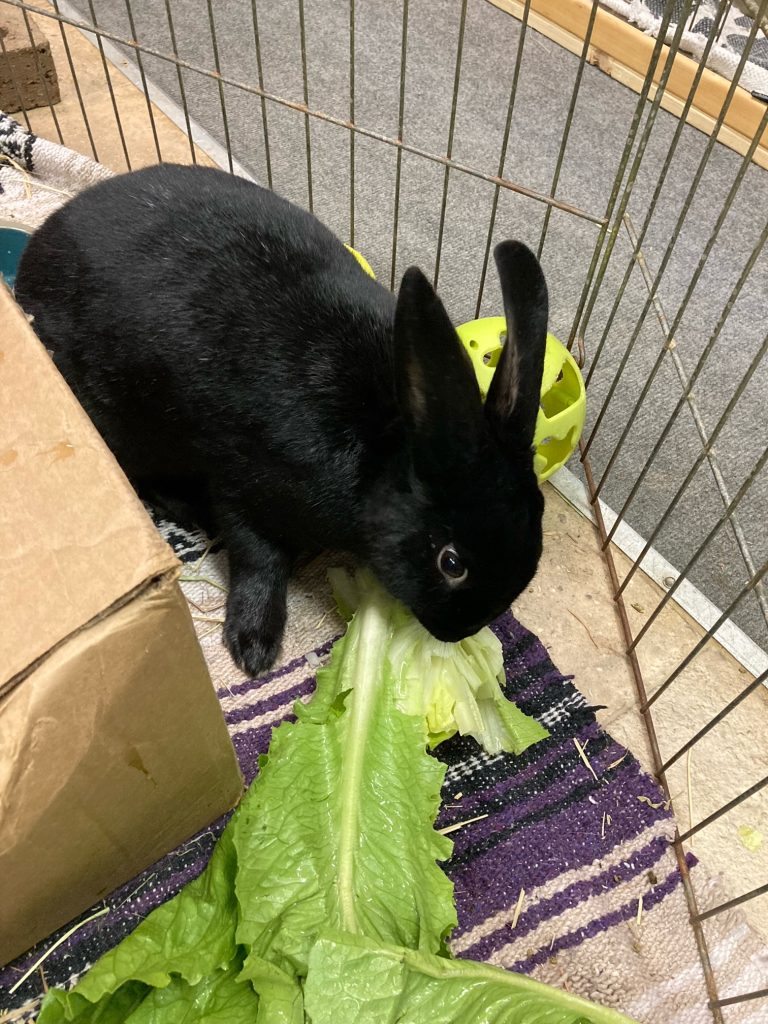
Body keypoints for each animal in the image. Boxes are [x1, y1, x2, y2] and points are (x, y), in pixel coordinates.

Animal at [14, 163, 548, 678]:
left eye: (537, 520)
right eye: (451, 562)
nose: (458, 633)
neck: (380, 446)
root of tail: (35, 255)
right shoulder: (245, 489)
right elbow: (259, 563)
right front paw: (253, 649)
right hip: (121, 421)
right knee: (140, 476)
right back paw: (189, 510)